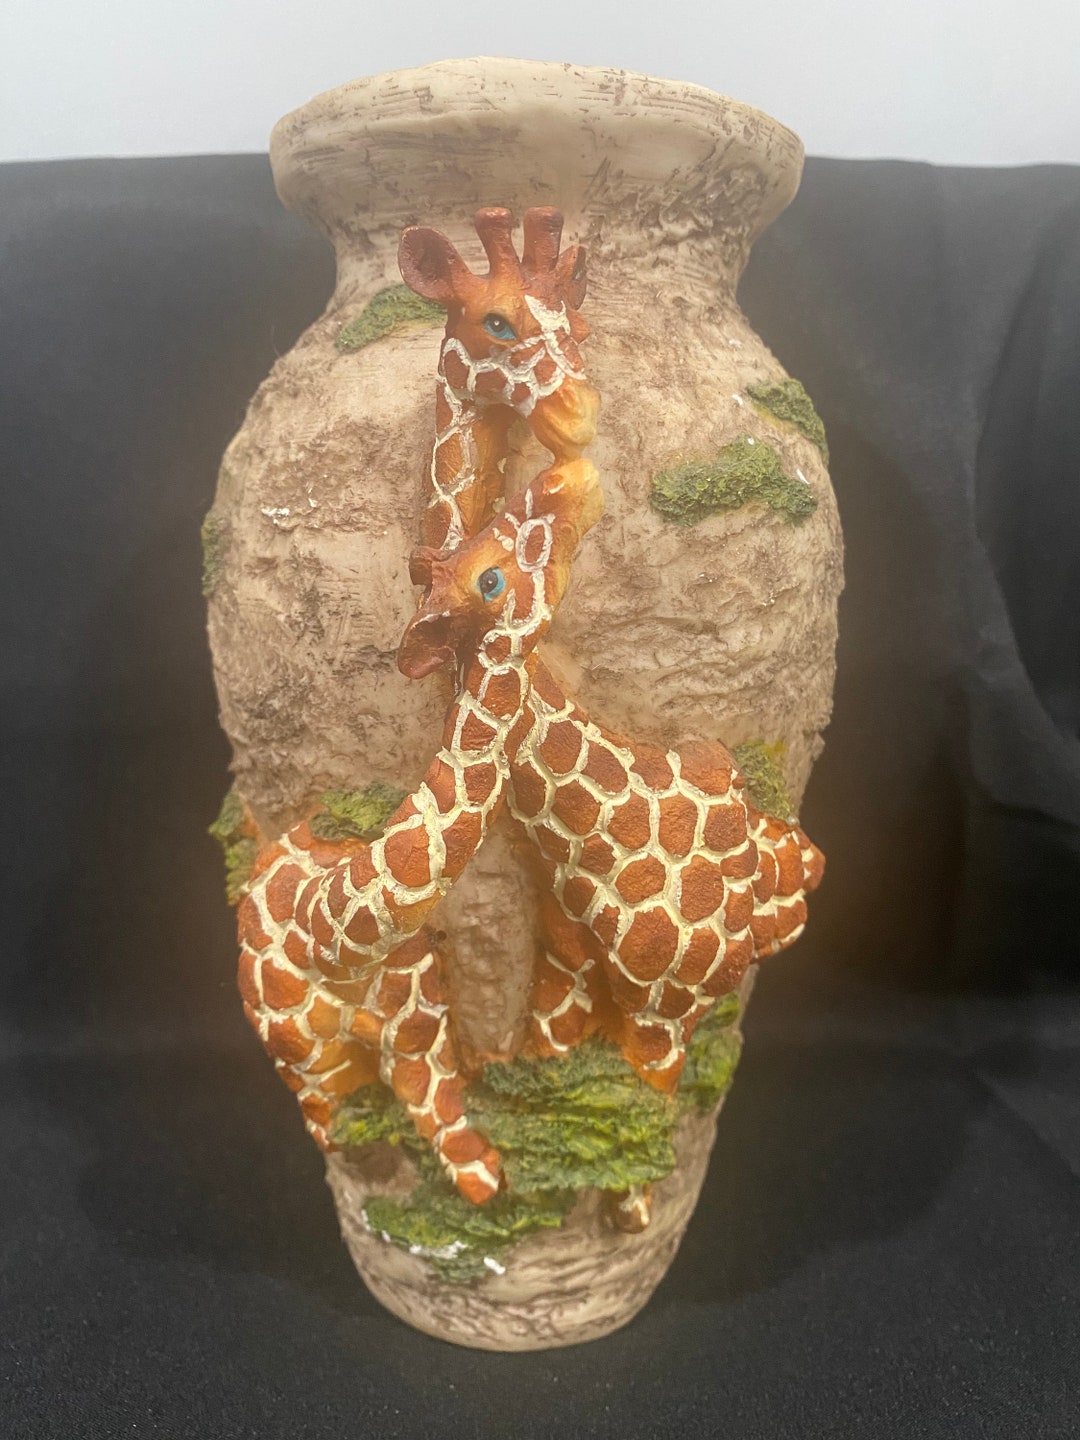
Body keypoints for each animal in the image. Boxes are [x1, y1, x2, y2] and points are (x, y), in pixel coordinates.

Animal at [235, 456, 603, 1204]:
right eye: (489, 579)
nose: (565, 480)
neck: (336, 946)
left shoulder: (418, 1034)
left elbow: (459, 1139)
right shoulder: (329, 1059)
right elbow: (444, 1158)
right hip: (298, 1057)